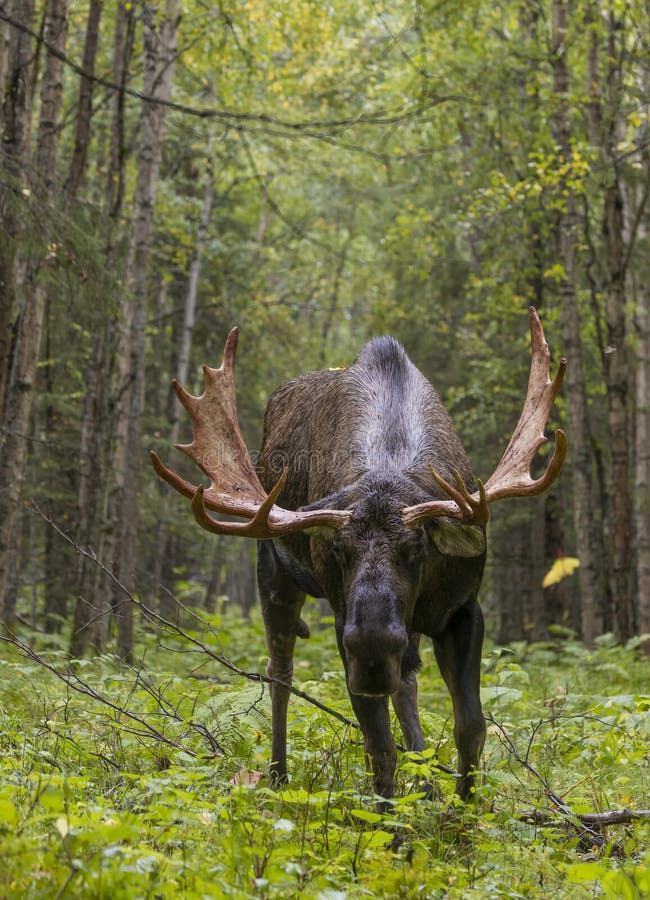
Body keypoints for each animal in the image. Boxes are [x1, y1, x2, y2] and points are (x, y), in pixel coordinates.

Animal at [151, 307, 566, 801]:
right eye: (337, 548)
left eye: (418, 547)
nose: (372, 646)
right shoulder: (341, 619)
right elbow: (378, 746)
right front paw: (388, 817)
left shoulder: (463, 607)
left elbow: (471, 726)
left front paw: (463, 809)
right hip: (273, 571)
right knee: (280, 671)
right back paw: (277, 774)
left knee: (406, 680)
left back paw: (426, 781)